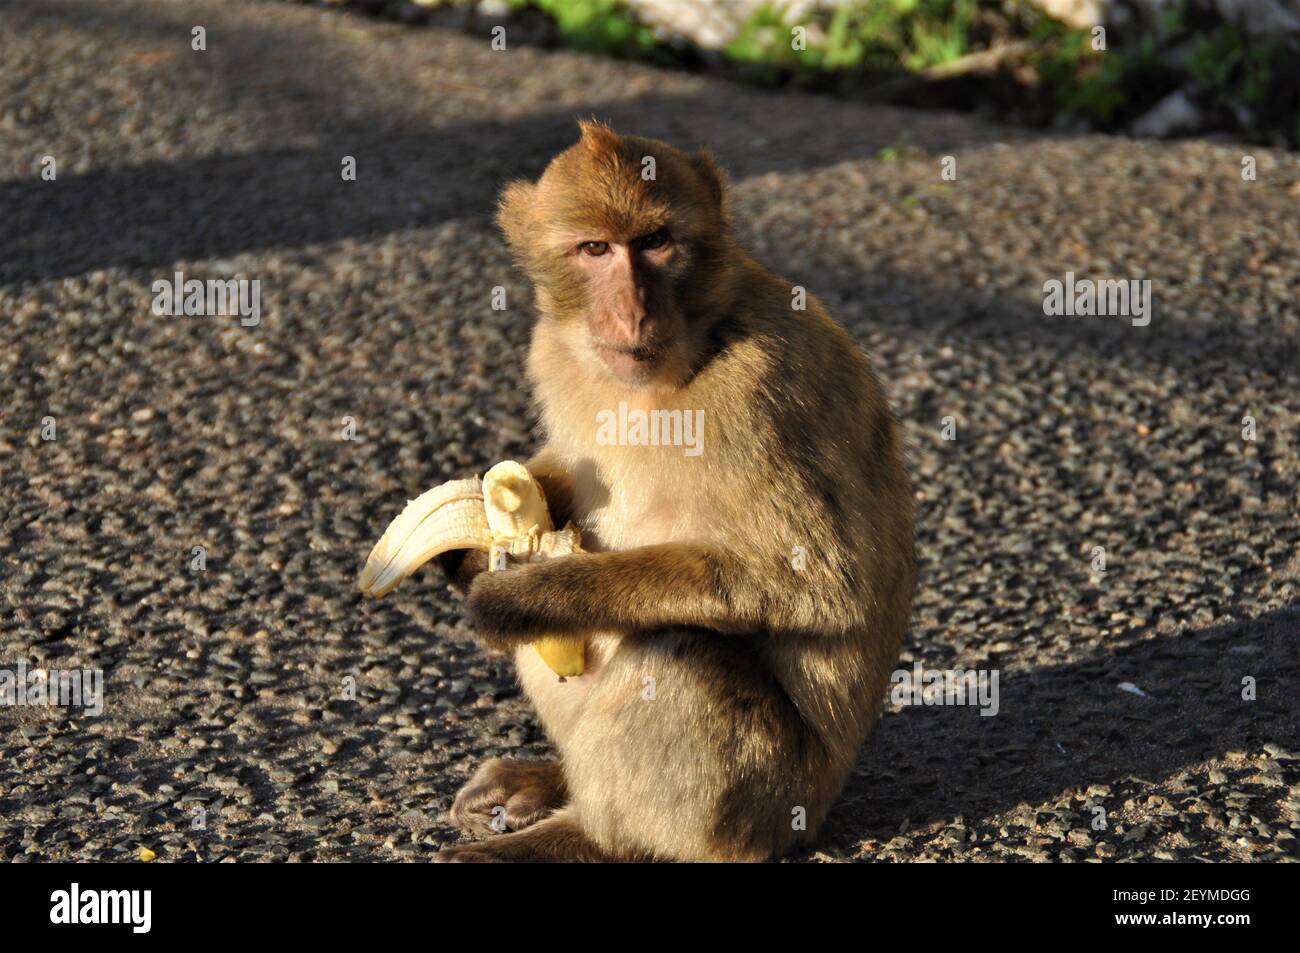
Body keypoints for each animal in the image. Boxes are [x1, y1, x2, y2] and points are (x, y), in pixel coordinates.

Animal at [432, 121, 914, 862]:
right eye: (595, 249)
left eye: (657, 242)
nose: (632, 312)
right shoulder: (552, 352)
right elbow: (565, 470)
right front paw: (473, 549)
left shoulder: (761, 388)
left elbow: (821, 584)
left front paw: (523, 594)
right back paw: (552, 785)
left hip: (771, 804)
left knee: (680, 651)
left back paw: (589, 837)